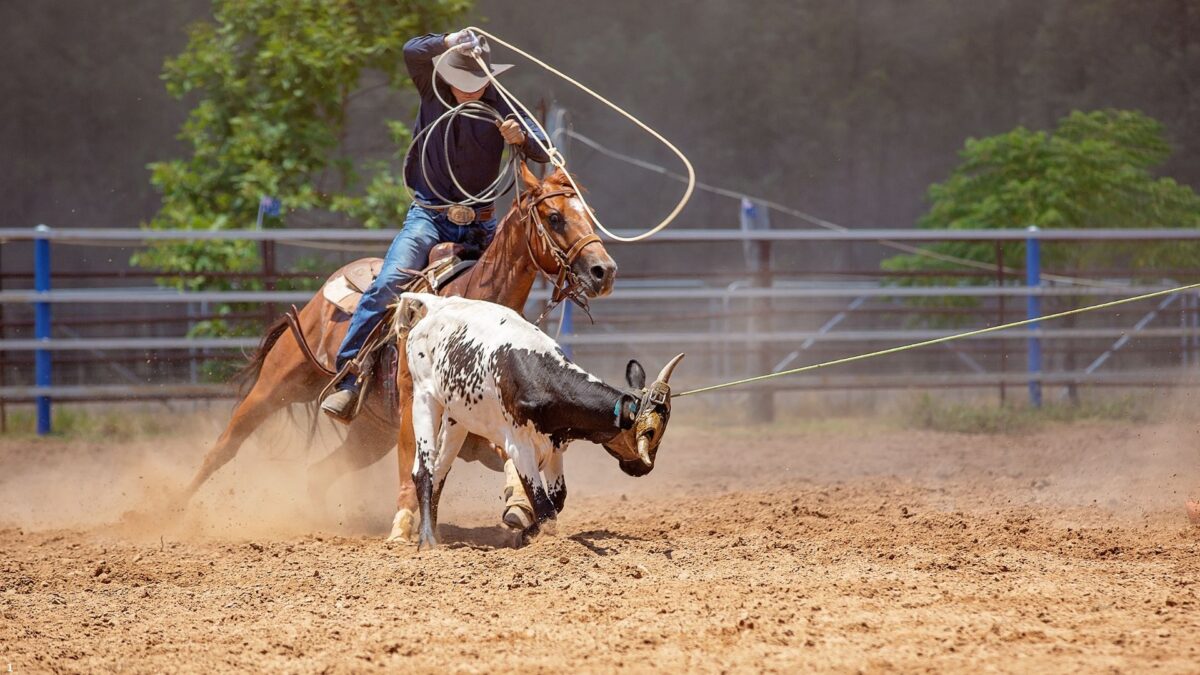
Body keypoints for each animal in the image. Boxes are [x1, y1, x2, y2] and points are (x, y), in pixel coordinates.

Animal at [179, 161, 617, 541]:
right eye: (555, 217)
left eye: (589, 215)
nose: (604, 271)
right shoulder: (414, 403)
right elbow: (414, 465)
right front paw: (404, 525)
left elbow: (510, 455)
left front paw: (519, 507)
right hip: (276, 385)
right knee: (225, 447)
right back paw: (175, 509)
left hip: (369, 435)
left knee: (321, 471)